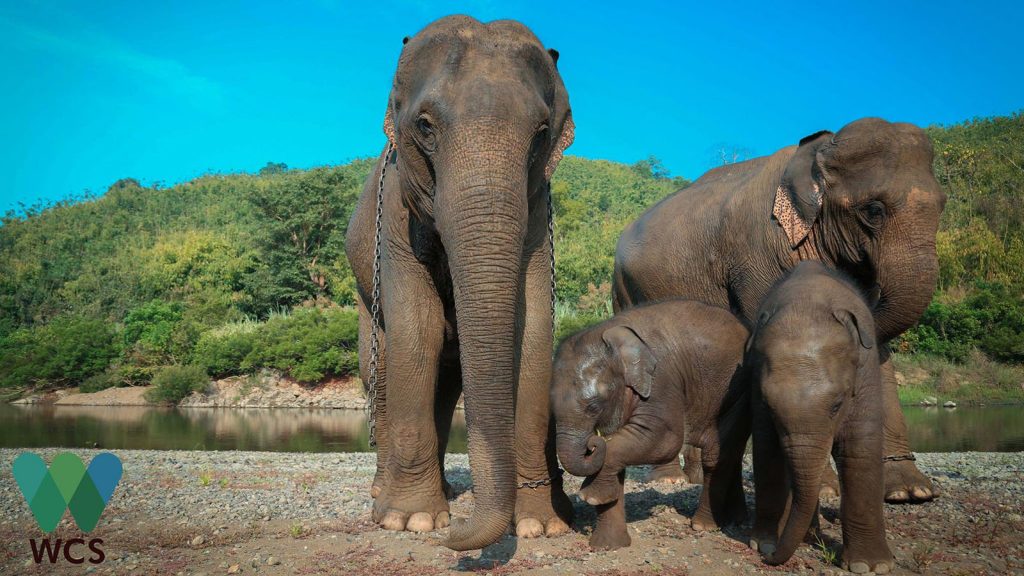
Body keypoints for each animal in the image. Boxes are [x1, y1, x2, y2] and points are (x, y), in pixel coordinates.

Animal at [344, 16, 575, 551]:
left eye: (541, 133)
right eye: (426, 126)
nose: (457, 534)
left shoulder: (538, 213)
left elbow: (532, 330)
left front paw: (541, 526)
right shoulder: (396, 214)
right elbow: (417, 327)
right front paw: (411, 522)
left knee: (446, 386)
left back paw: (446, 493)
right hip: (366, 299)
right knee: (378, 366)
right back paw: (385, 495)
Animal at [551, 300, 750, 550]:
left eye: (594, 407)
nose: (592, 442)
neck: (611, 333)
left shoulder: (662, 381)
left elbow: (664, 441)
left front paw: (590, 495)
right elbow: (618, 453)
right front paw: (607, 546)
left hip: (737, 393)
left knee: (717, 455)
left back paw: (703, 525)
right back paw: (735, 519)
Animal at [613, 118, 946, 503]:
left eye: (943, 207)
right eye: (873, 211)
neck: (819, 152)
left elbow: (877, 352)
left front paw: (911, 491)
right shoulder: (761, 257)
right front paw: (825, 490)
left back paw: (694, 478)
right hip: (625, 291)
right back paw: (669, 479)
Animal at [747, 261, 892, 574]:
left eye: (837, 405)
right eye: (769, 405)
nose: (769, 557)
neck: (806, 302)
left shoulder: (866, 369)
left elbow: (859, 447)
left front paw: (868, 566)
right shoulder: (754, 374)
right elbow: (767, 449)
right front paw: (763, 543)